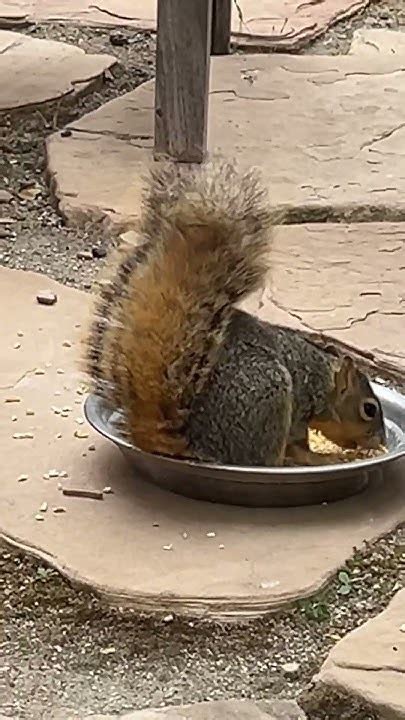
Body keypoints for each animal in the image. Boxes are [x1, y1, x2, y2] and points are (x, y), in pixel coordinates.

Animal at [84, 159, 386, 467]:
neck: (325, 379)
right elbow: (300, 447)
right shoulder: (303, 403)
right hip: (271, 394)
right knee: (267, 459)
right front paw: (325, 458)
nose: (380, 441)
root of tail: (193, 443)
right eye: (369, 409)